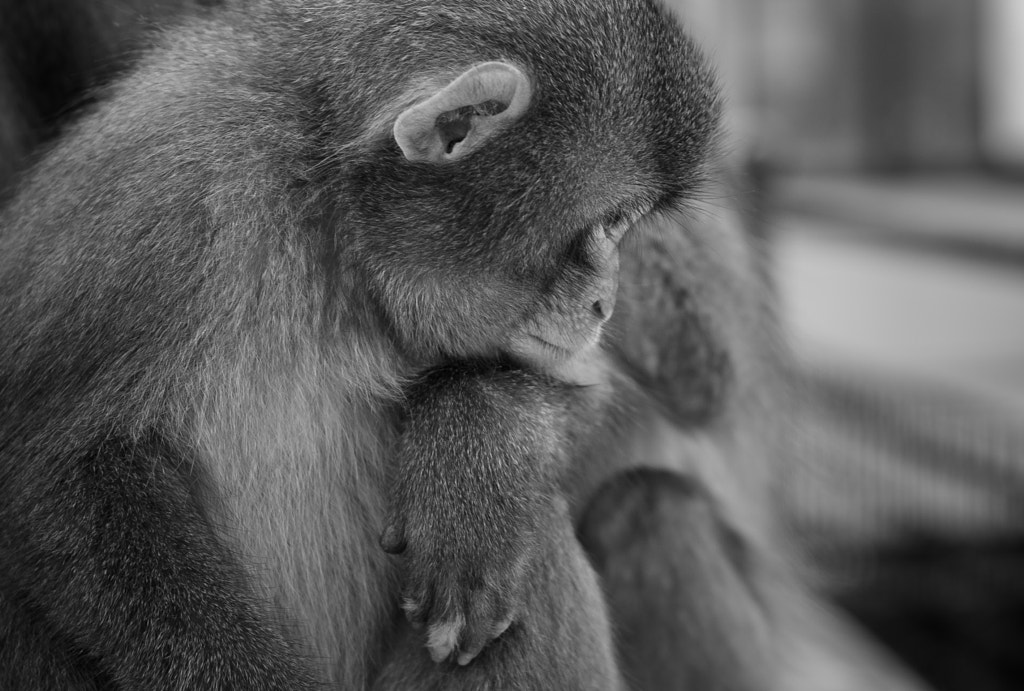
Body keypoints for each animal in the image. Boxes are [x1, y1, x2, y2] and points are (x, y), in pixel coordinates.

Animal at [0, 0, 729, 687]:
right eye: (611, 221)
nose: (607, 302)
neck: (329, 216)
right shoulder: (175, 200)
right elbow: (54, 474)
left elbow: (602, 395)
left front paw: (477, 451)